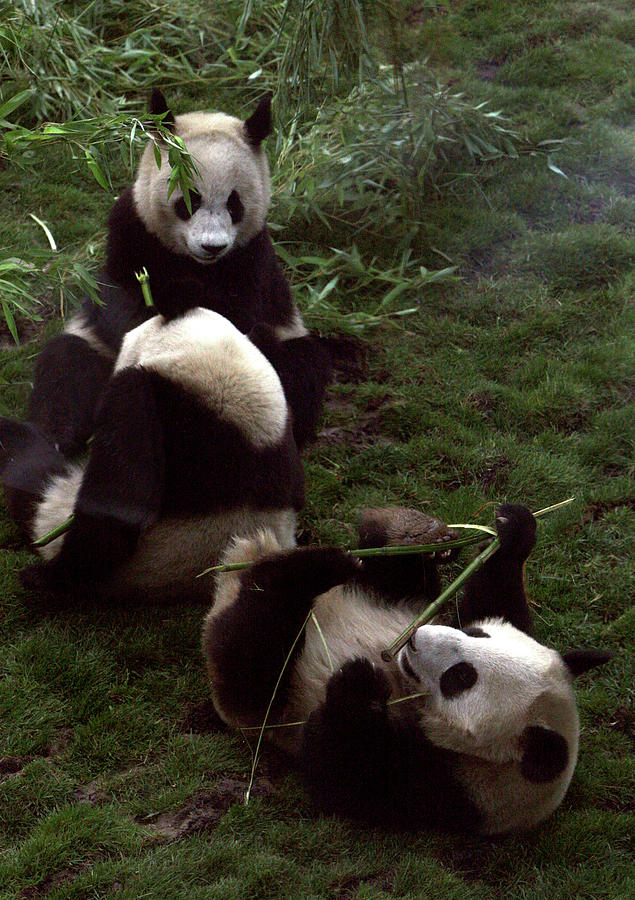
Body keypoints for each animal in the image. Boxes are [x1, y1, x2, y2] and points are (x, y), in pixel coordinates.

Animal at [22, 89, 330, 458]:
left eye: (235, 204)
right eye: (189, 200)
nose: (212, 246)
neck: (194, 263)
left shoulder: (251, 254)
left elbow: (241, 314)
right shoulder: (132, 228)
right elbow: (119, 302)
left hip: (286, 347)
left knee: (300, 369)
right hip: (92, 351)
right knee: (68, 368)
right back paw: (58, 437)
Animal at [202, 506, 612, 836]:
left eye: (460, 678)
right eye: (476, 634)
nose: (415, 637)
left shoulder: (447, 792)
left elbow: (344, 770)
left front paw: (358, 687)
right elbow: (496, 601)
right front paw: (512, 530)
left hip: (260, 693)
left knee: (253, 644)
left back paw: (296, 575)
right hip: (389, 592)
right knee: (393, 571)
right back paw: (411, 536)